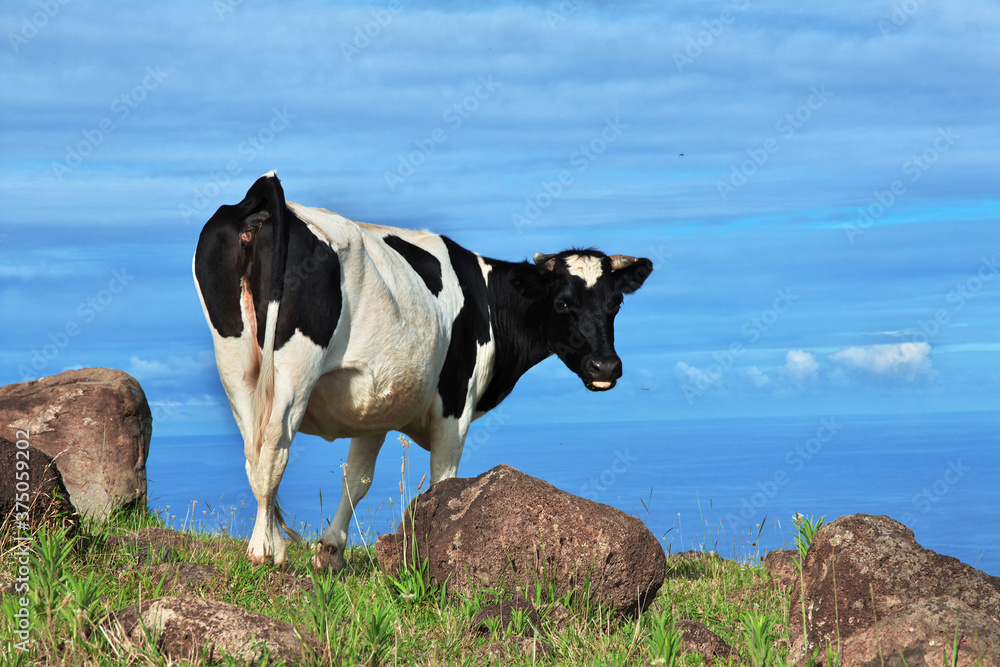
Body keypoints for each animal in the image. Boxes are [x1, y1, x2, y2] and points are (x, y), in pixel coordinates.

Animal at [193, 172, 652, 571]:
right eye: (561, 302)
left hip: (236, 363)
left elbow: (357, 479)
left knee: (253, 452)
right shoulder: (455, 405)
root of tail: (266, 200)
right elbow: (442, 483)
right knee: (273, 448)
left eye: (615, 303)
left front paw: (330, 554)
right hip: (294, 368)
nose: (605, 366)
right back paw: (264, 551)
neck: (485, 298)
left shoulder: (375, 406)